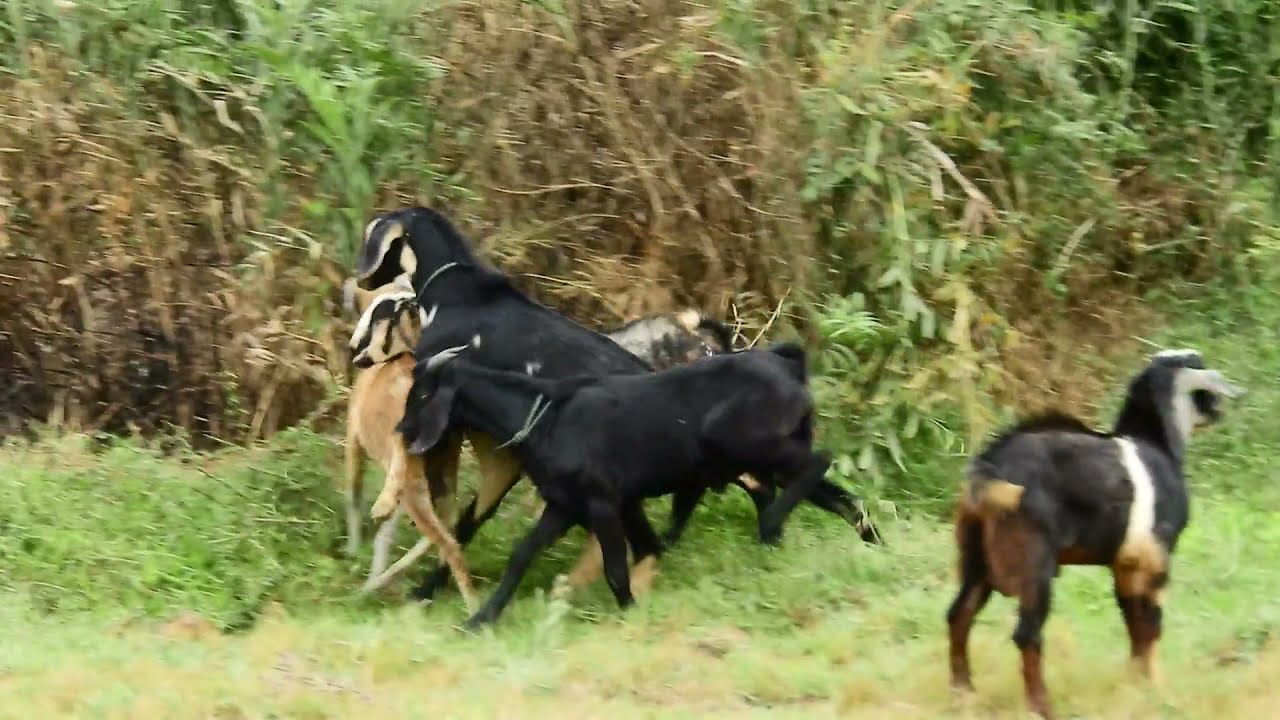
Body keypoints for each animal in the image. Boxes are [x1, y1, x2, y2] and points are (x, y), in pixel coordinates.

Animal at [399, 339, 832, 629]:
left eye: (421, 394)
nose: (400, 430)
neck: (545, 414)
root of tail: (787, 365)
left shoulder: (601, 501)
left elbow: (615, 567)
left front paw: (629, 609)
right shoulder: (563, 504)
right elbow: (522, 554)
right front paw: (482, 618)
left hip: (752, 443)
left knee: (819, 462)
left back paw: (773, 522)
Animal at [947, 349, 1245, 719]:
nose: (1221, 409)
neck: (1155, 442)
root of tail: (991, 467)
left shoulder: (1125, 565)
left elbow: (1134, 626)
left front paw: (1136, 685)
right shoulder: (1156, 559)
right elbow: (1153, 626)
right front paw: (1158, 692)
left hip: (975, 561)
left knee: (958, 616)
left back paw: (963, 695)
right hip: (1035, 567)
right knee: (1027, 635)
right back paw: (1042, 708)